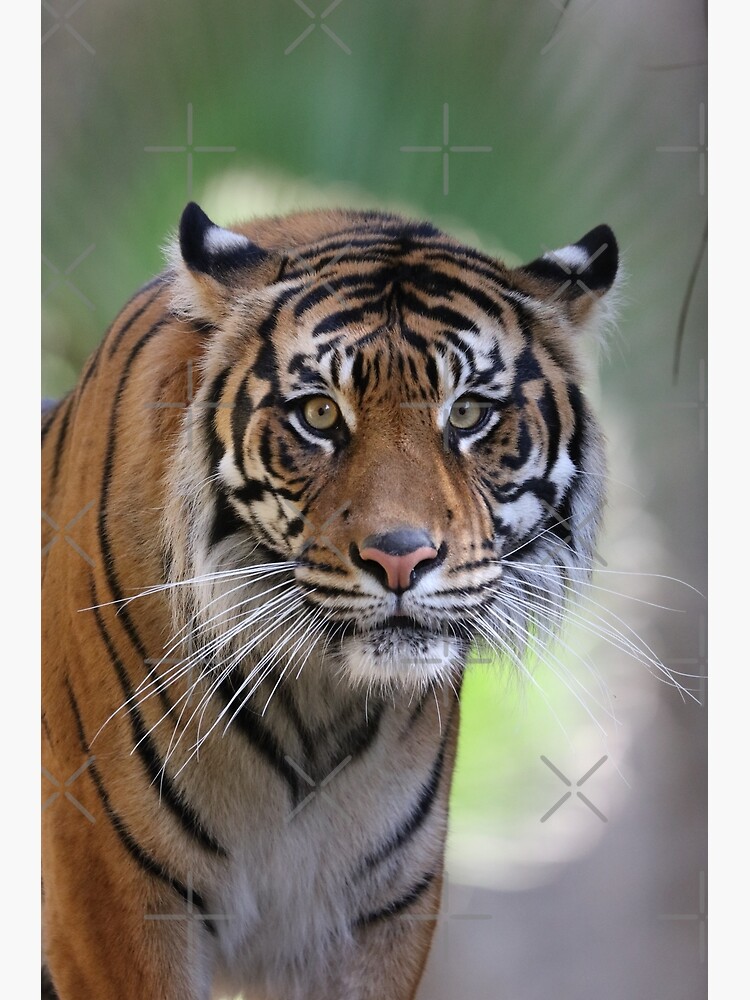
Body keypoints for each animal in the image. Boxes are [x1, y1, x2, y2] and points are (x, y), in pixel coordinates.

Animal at [41, 201, 618, 1000]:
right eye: (318, 414)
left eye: (468, 413)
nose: (401, 556)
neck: (318, 702)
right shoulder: (115, 898)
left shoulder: (375, 917)